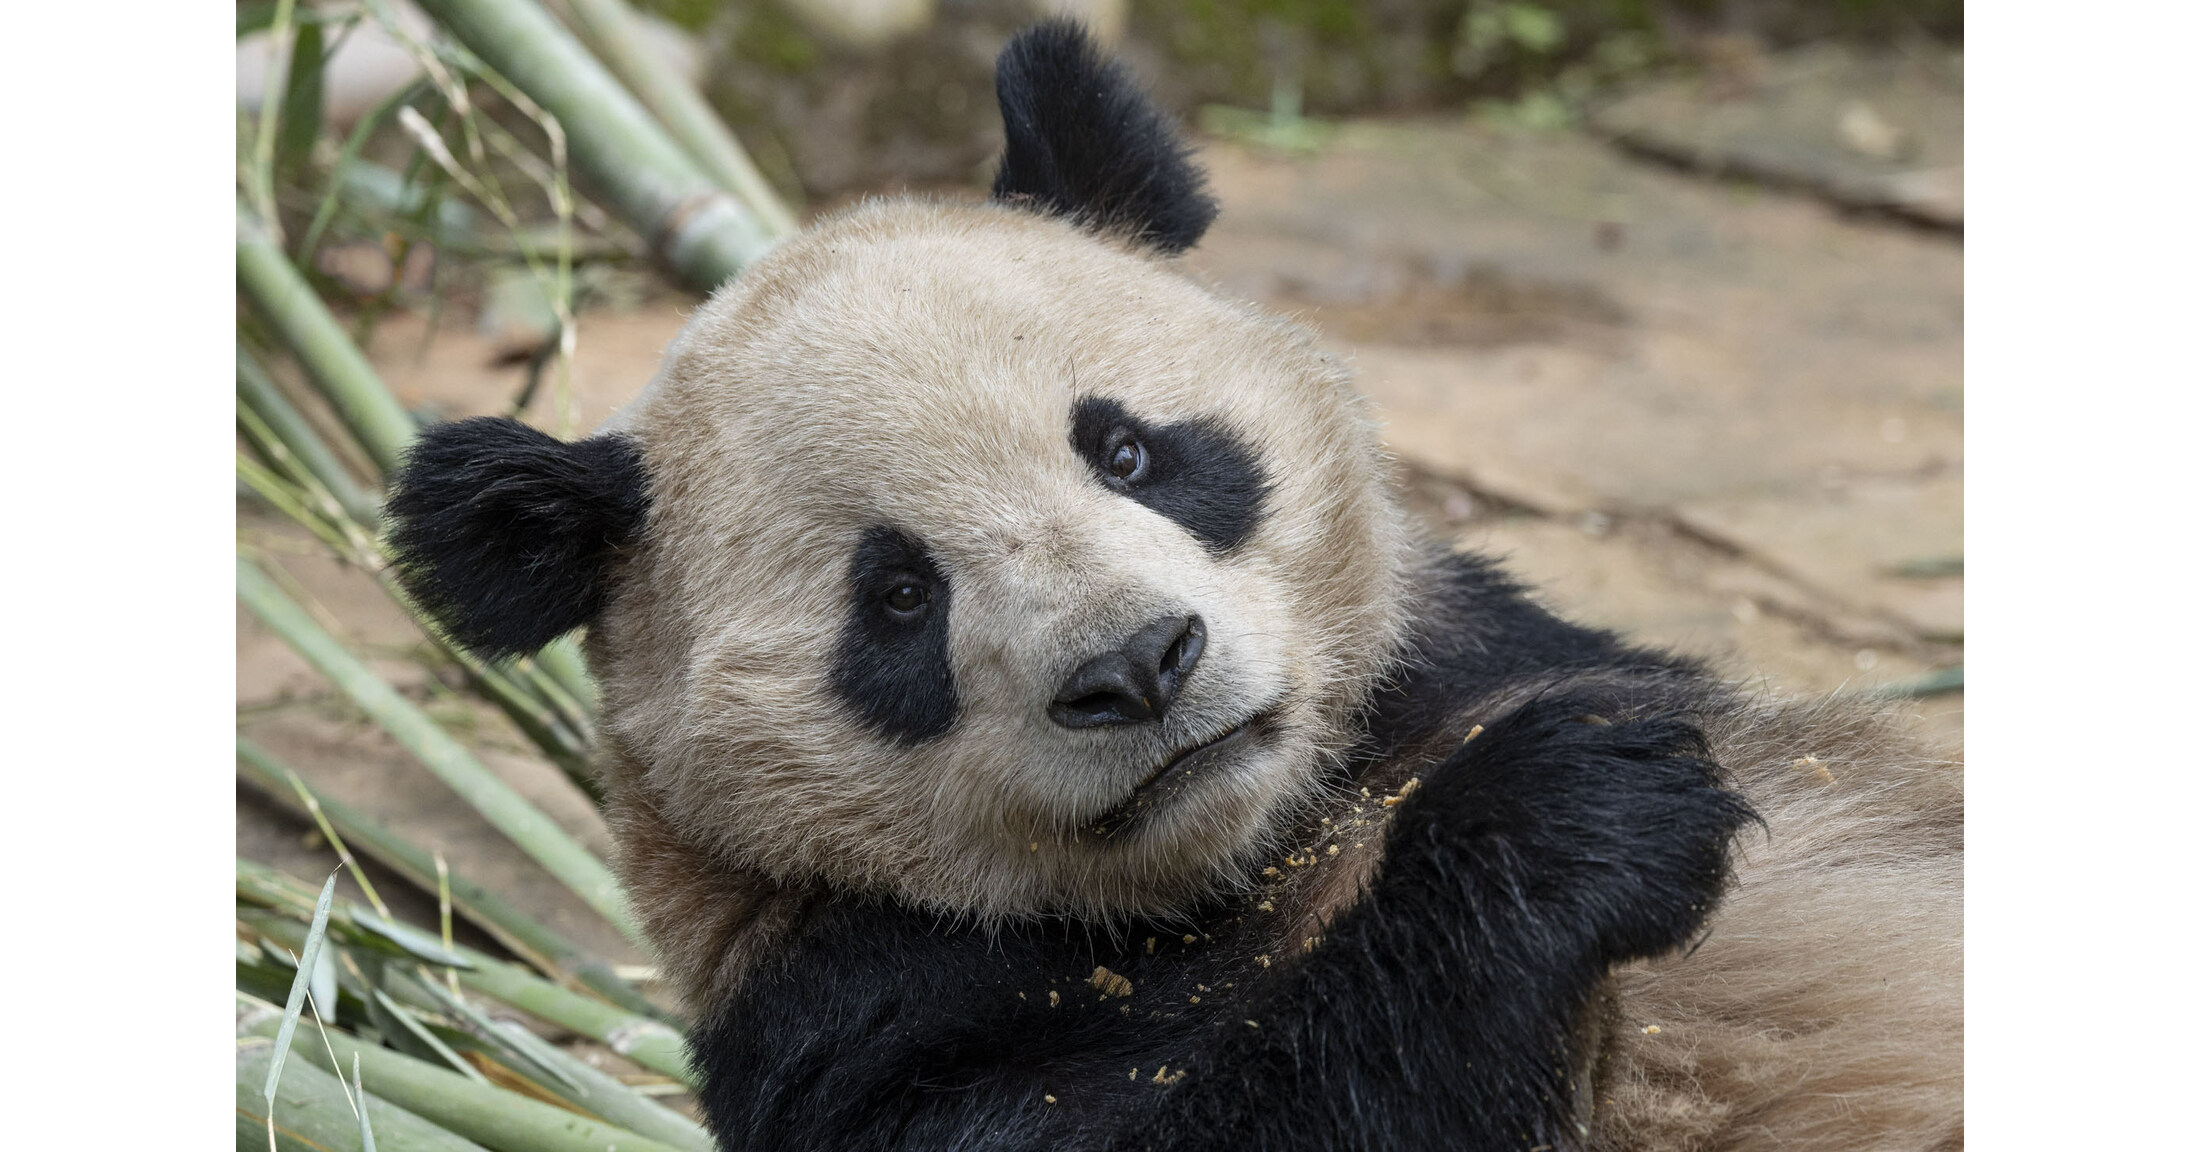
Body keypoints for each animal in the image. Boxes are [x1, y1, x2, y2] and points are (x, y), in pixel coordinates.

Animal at [385, 21, 1962, 1152]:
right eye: (896, 599)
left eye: (1129, 449)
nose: (1138, 666)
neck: (1249, 854)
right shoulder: (857, 1016)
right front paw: (1565, 815)